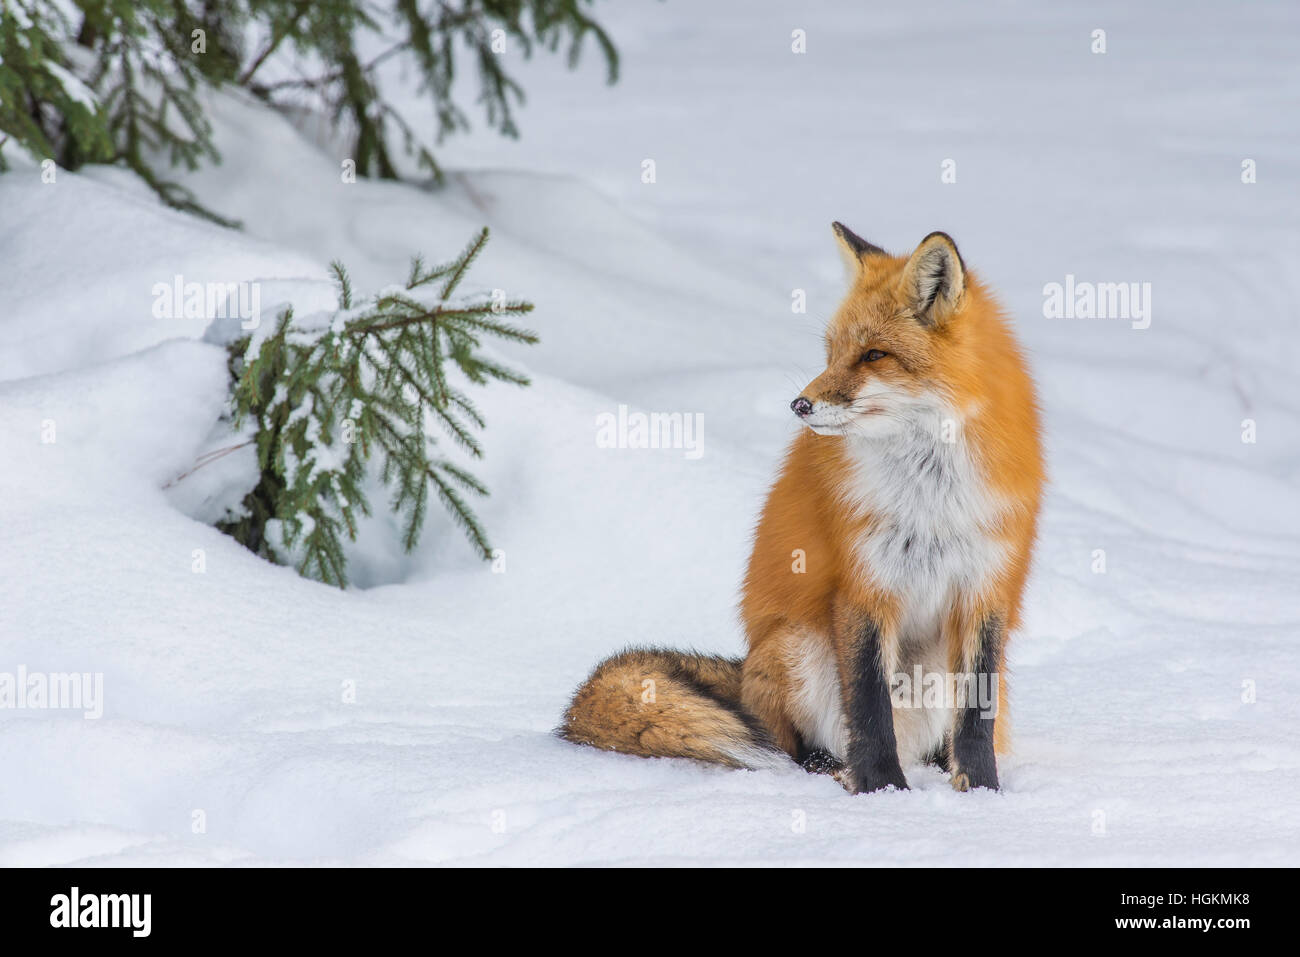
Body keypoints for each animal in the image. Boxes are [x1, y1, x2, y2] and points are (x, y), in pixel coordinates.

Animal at [560, 224, 1044, 793]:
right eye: (832, 351)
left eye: (874, 355)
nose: (799, 405)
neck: (930, 498)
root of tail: (745, 672)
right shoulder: (863, 585)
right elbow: (868, 706)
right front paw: (883, 790)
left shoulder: (984, 589)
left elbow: (976, 713)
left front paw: (983, 792)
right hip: (799, 648)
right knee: (794, 745)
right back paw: (829, 768)